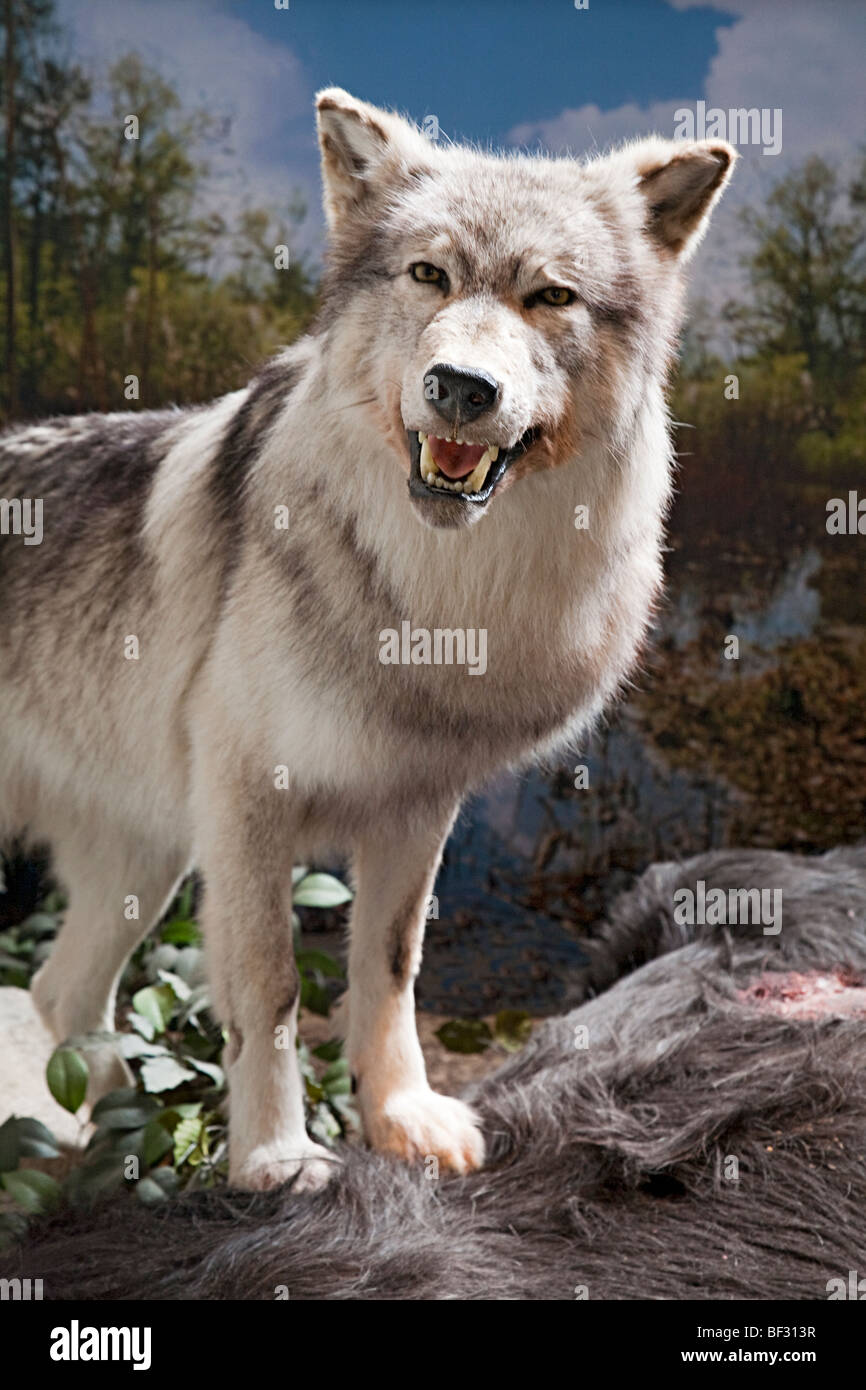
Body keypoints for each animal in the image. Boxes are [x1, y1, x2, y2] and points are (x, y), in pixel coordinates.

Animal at [0, 90, 734, 1191]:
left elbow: (389, 972)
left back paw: (112, 1138)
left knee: (62, 993)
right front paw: (274, 1156)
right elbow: (269, 988)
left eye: (549, 297)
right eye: (429, 276)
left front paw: (399, 1120)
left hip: (144, 861)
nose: (462, 387)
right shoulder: (247, 808)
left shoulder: (416, 809)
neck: (438, 603)